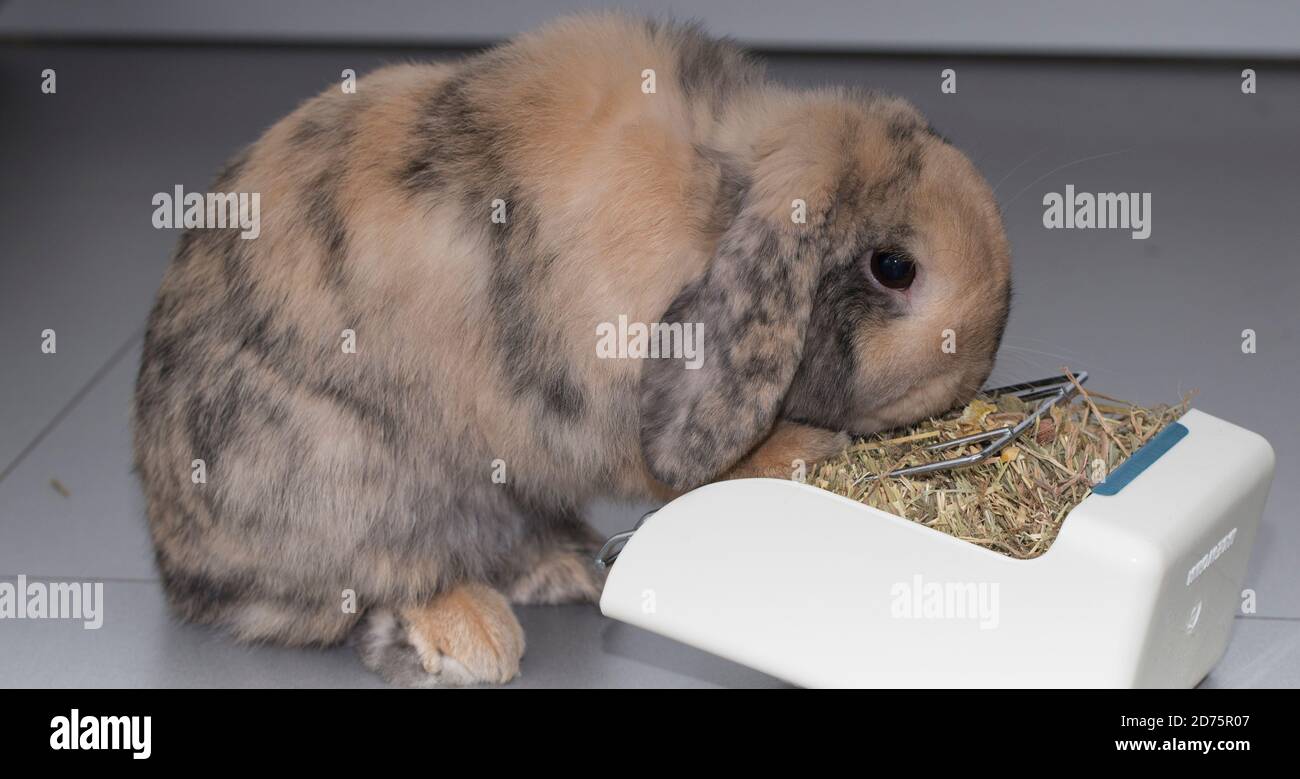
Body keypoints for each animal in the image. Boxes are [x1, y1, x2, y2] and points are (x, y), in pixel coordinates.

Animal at [132, 11, 1011, 687]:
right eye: (893, 266)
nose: (967, 381)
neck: (716, 199)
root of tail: (174, 562)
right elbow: (678, 466)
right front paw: (796, 449)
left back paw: (565, 570)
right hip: (346, 474)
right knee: (371, 582)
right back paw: (472, 636)